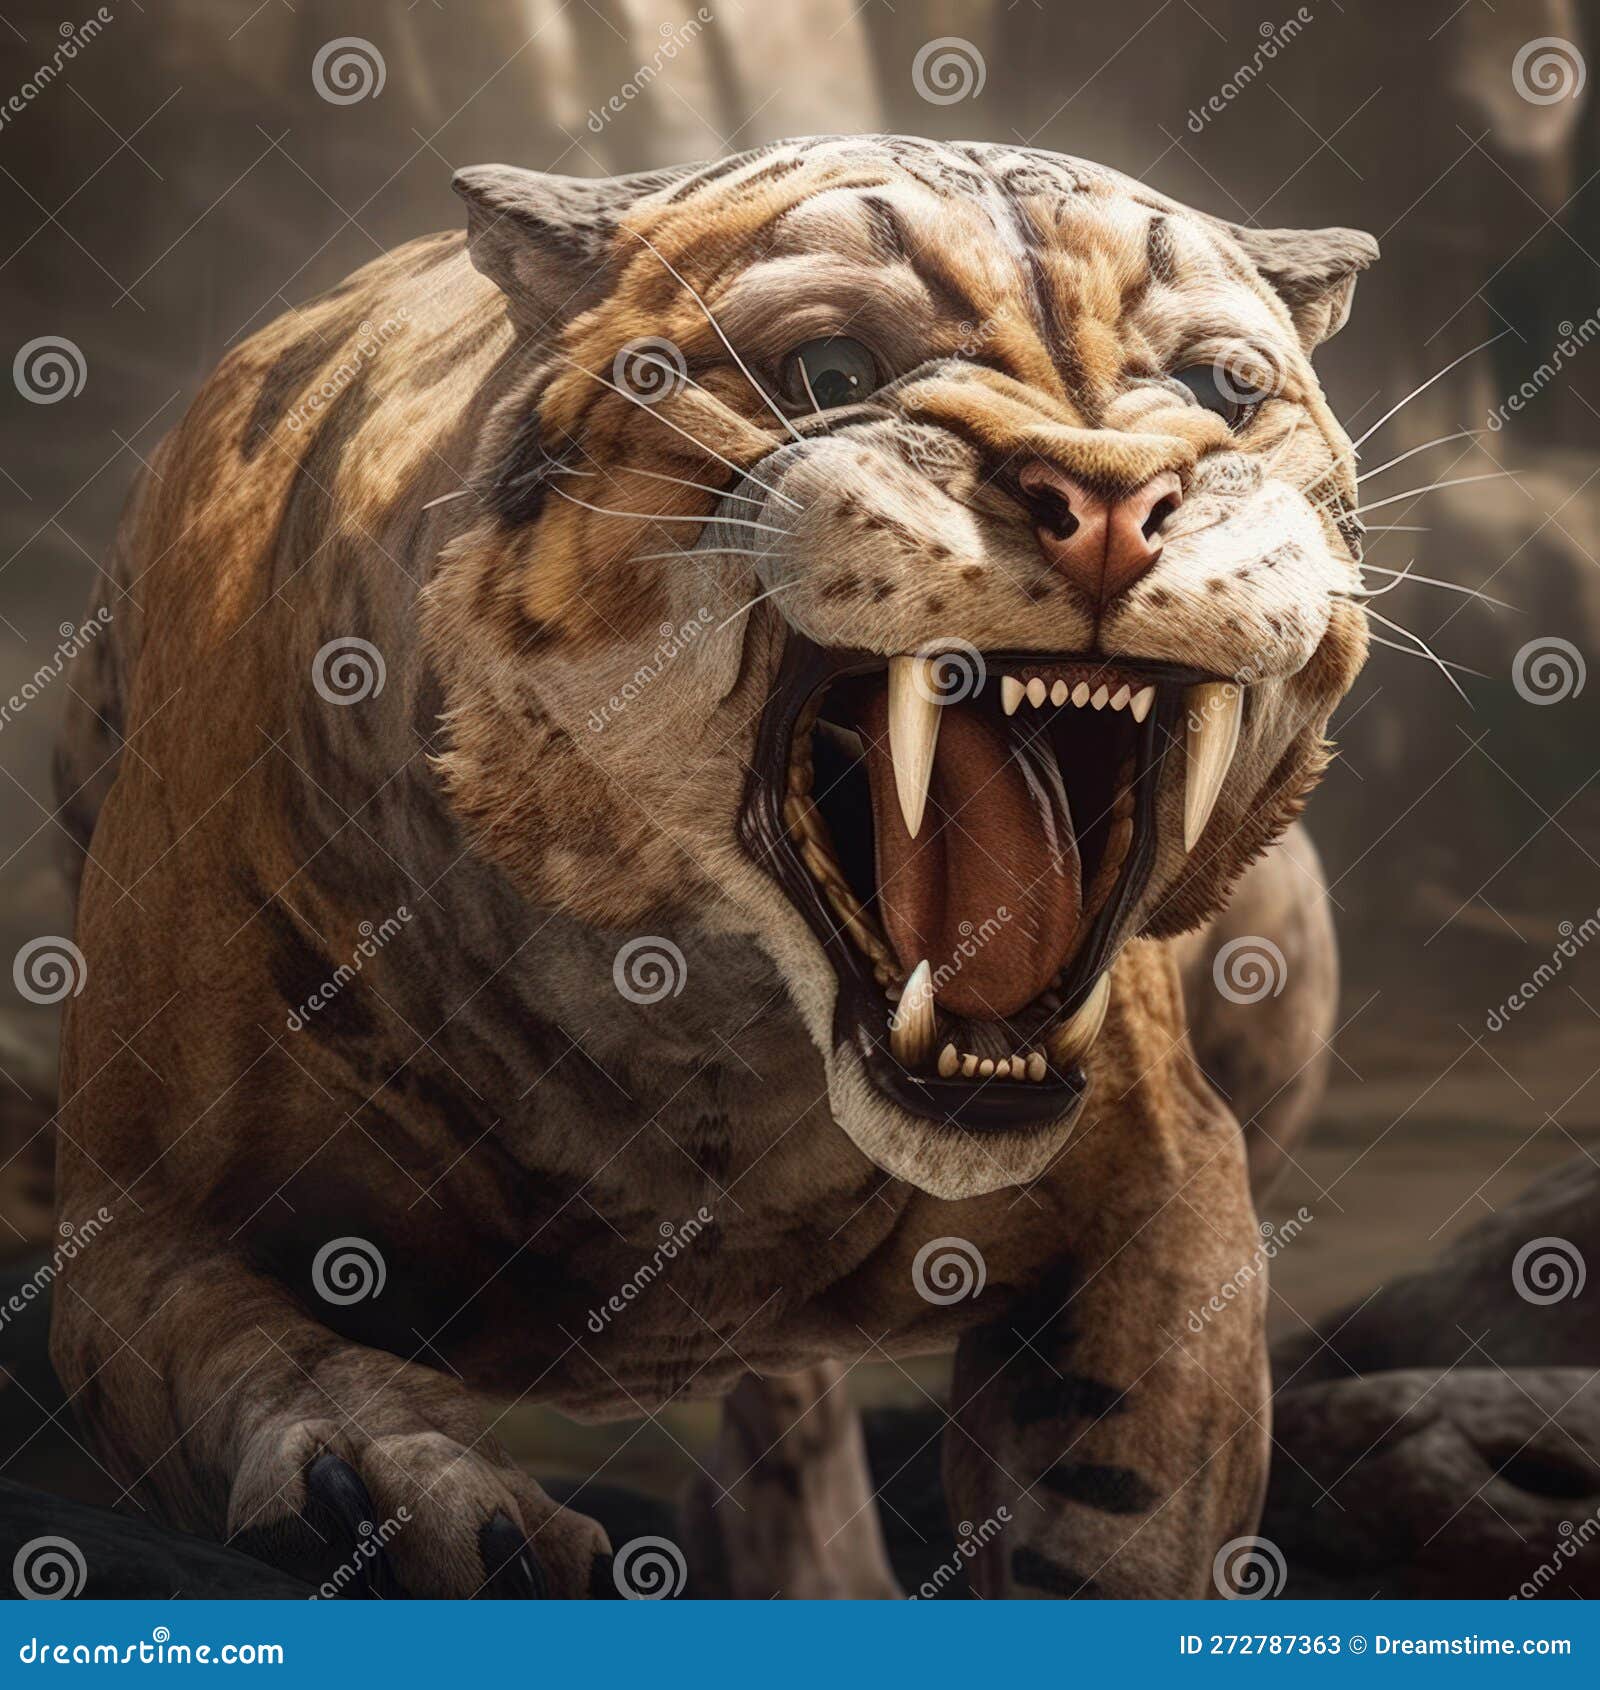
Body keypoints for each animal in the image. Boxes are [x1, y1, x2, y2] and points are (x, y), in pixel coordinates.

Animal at [52, 133, 1372, 1598]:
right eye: (832, 371)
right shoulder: (135, 1207)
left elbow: (1115, 1507)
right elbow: (245, 1351)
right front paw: (410, 1495)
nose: (1108, 502)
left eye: (1222, 386)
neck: (707, 1051)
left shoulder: (1168, 1190)